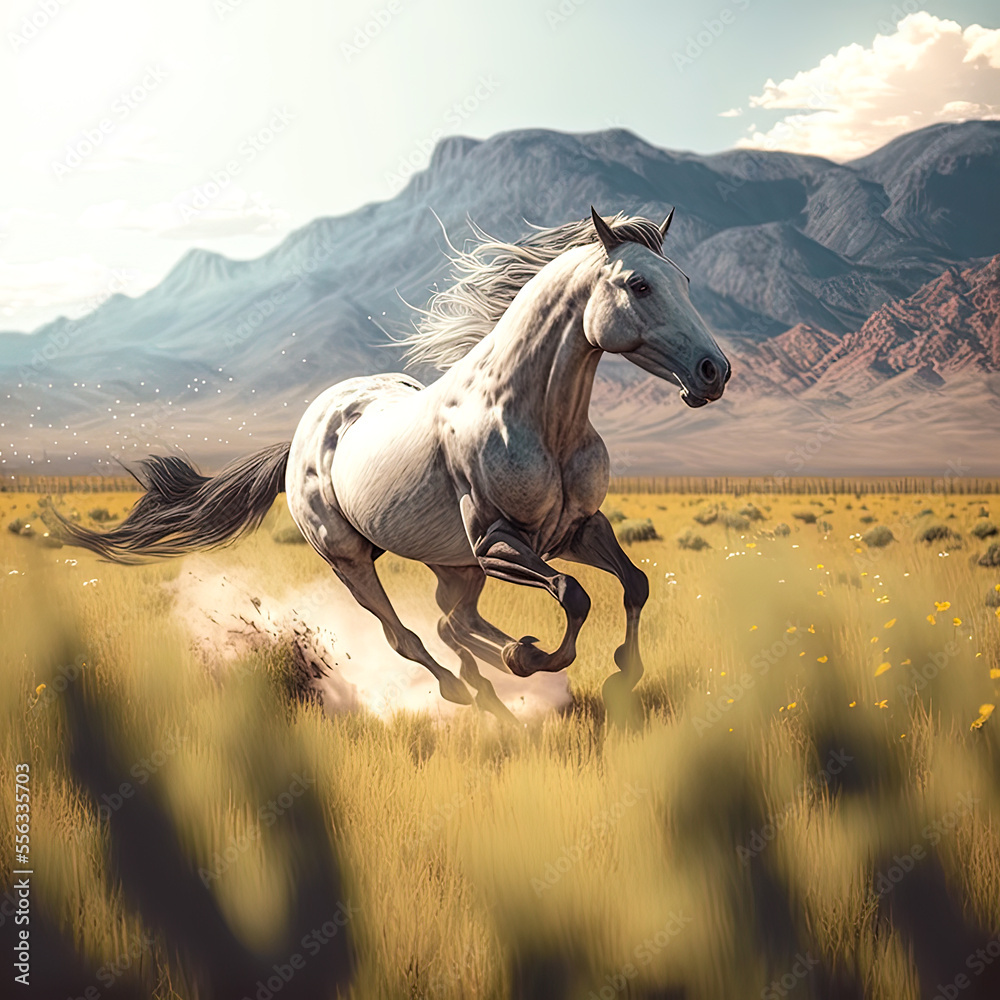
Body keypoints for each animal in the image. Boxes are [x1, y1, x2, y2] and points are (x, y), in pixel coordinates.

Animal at [54, 208, 731, 723]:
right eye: (639, 285)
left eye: (685, 280)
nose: (714, 371)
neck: (533, 417)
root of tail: (303, 434)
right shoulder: (497, 544)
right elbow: (574, 595)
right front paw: (530, 658)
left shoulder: (574, 530)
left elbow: (632, 583)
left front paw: (616, 675)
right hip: (354, 559)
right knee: (409, 634)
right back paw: (473, 689)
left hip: (450, 562)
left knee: (453, 622)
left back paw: (494, 683)